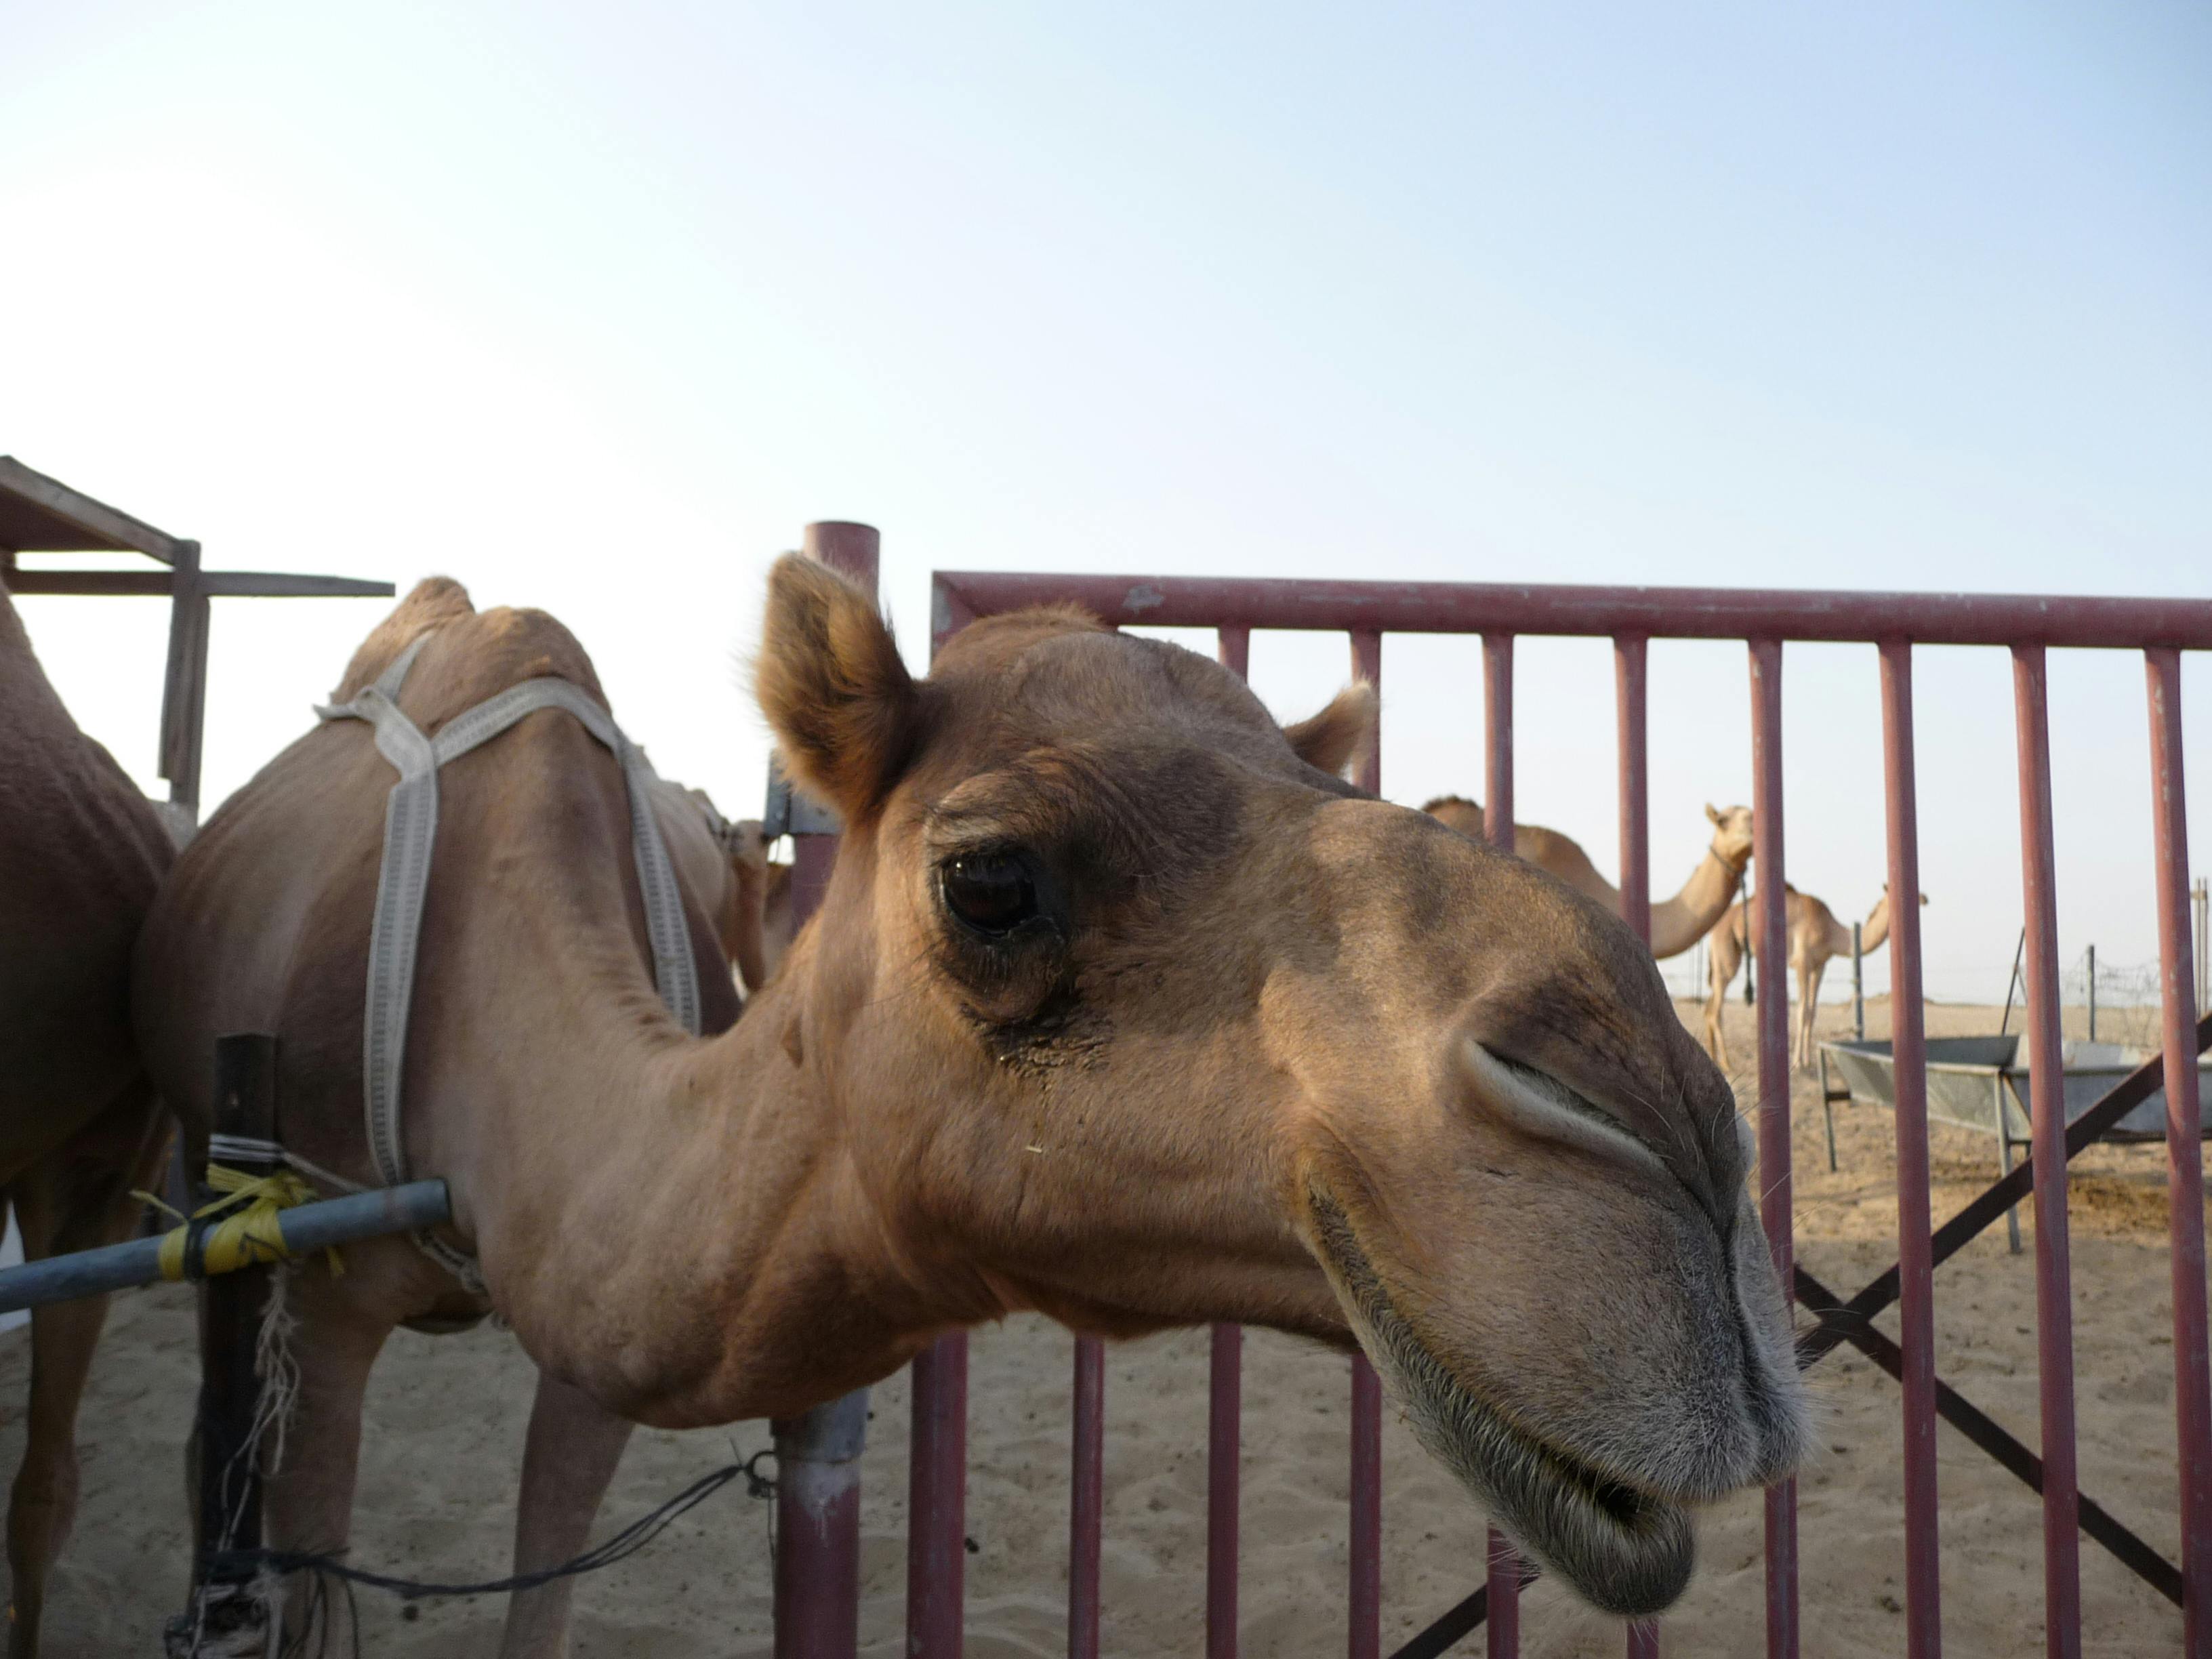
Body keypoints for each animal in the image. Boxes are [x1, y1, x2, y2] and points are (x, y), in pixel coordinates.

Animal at [1703, 884, 1926, 1072]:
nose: (1925, 898)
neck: (1832, 933)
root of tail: (1715, 928)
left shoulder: (1820, 966)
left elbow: (1812, 1012)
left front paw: (1808, 1062)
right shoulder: (1803, 963)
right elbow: (1802, 1011)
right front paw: (1797, 1063)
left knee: (1709, 1006)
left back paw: (1714, 1059)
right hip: (1726, 955)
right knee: (1716, 1010)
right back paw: (1728, 1063)